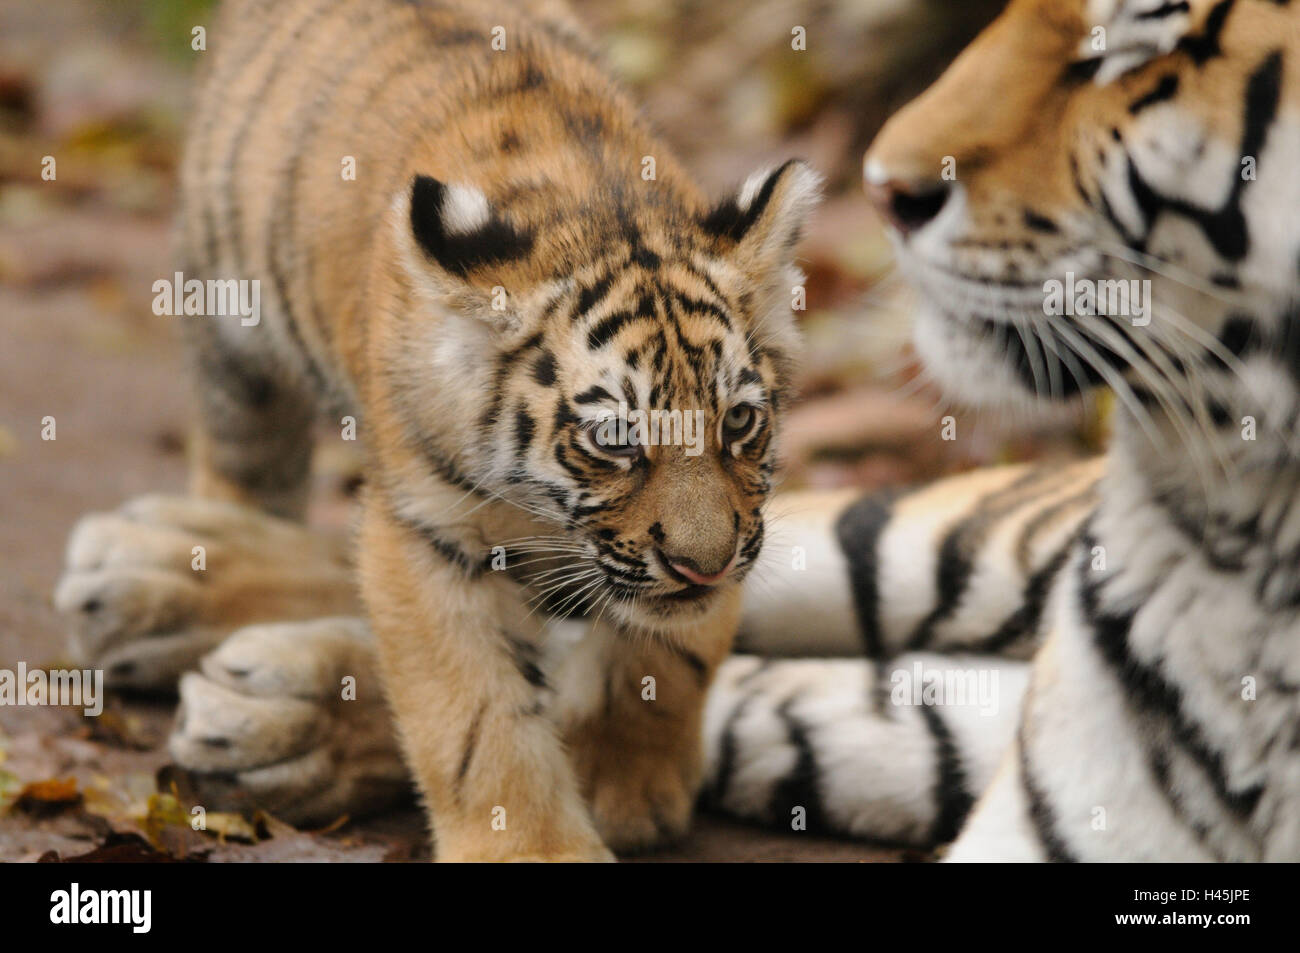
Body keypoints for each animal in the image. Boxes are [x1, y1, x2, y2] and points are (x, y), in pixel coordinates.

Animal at [52, 0, 821, 862]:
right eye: (615, 440)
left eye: (740, 421)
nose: (702, 564)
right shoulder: (425, 529)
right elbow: (476, 719)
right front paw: (535, 847)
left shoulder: (740, 520)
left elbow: (676, 649)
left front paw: (625, 782)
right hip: (234, 336)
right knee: (246, 472)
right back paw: (195, 558)